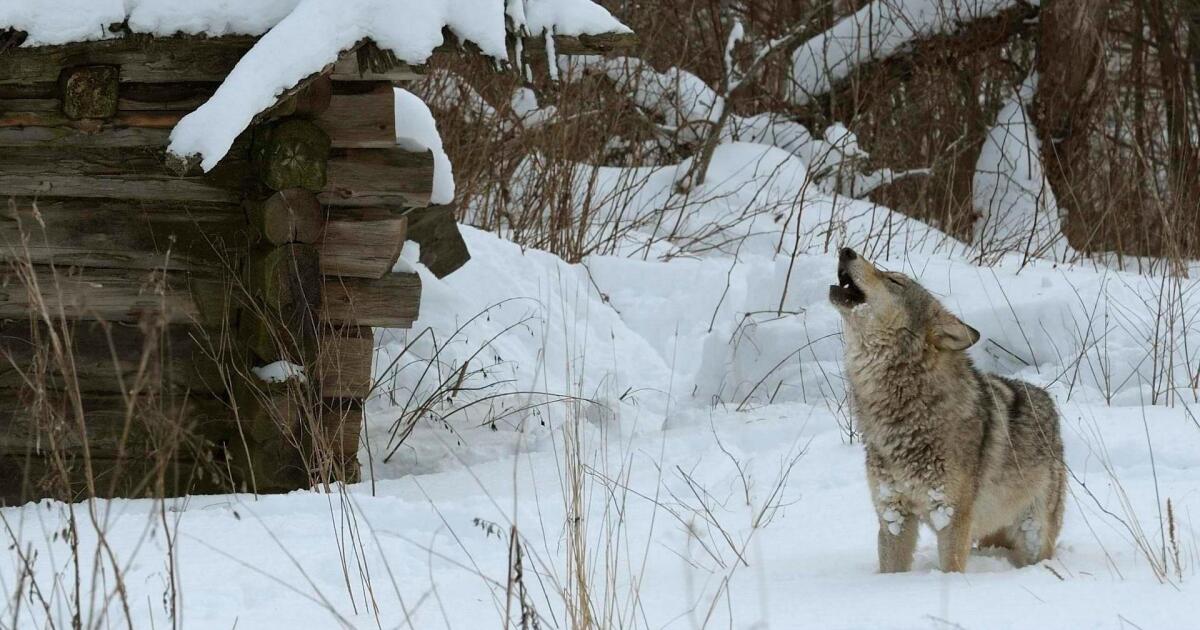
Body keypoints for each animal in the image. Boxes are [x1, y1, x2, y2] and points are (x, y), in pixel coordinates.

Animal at [829, 247, 1066, 573]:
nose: (846, 250)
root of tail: (1047, 400)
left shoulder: (951, 516)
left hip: (1033, 532)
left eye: (894, 280)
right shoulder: (893, 514)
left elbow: (952, 568)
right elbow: (891, 569)